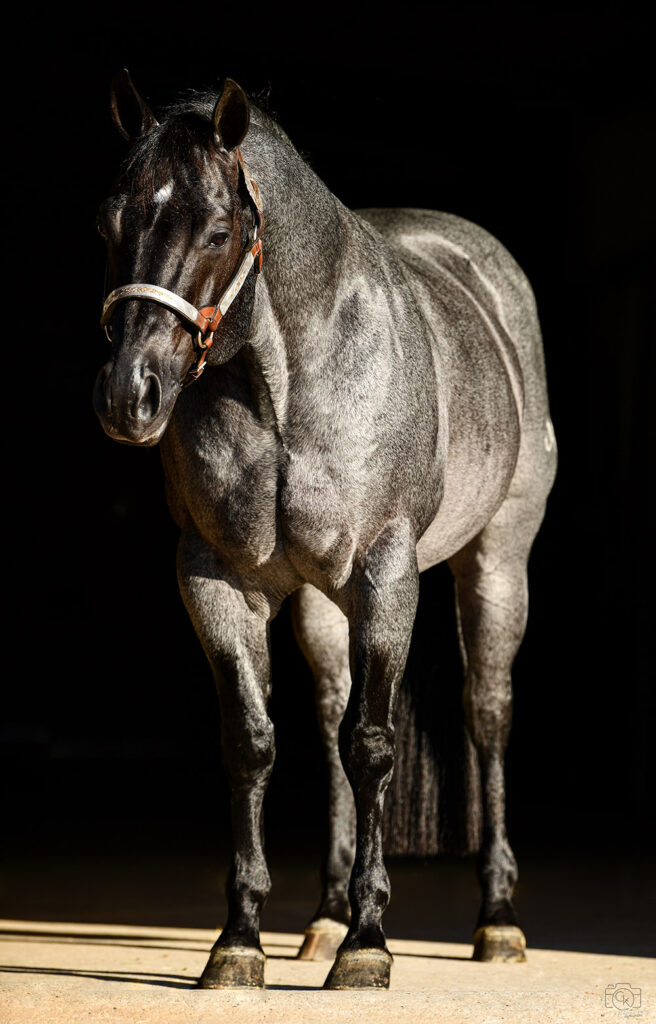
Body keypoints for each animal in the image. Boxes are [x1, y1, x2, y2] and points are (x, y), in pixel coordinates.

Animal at [93, 70, 557, 990]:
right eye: (112, 220)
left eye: (220, 229)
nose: (131, 396)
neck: (285, 382)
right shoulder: (213, 577)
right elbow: (253, 741)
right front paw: (239, 940)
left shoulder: (386, 571)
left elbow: (372, 745)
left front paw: (369, 946)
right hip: (319, 601)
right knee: (333, 708)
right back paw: (325, 916)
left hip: (496, 563)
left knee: (486, 715)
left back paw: (496, 921)